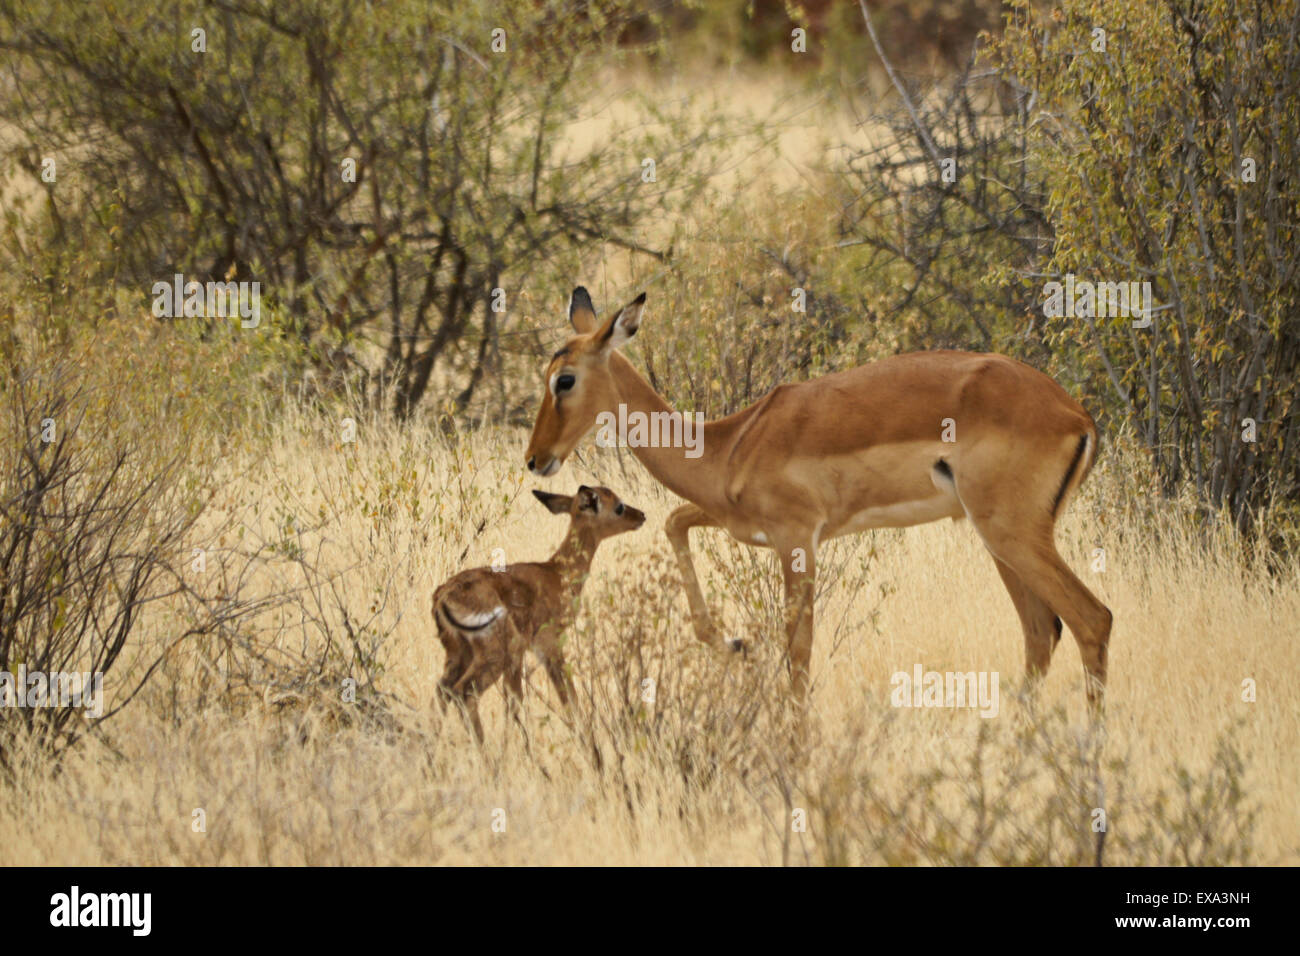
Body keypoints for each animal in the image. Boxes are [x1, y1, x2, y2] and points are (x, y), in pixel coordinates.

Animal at [433, 485, 646, 740]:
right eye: (619, 506)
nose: (641, 515)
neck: (557, 573)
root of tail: (443, 596)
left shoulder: (523, 655)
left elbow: (515, 700)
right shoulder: (548, 645)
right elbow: (566, 695)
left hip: (458, 654)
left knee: (443, 690)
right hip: (495, 654)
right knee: (464, 692)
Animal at [524, 287, 1113, 707]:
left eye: (565, 380)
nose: (534, 459)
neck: (729, 445)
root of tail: (1077, 416)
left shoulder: (796, 540)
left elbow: (799, 649)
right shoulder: (739, 523)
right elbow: (672, 522)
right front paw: (734, 643)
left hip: (1011, 534)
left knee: (1092, 619)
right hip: (999, 540)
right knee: (1041, 632)